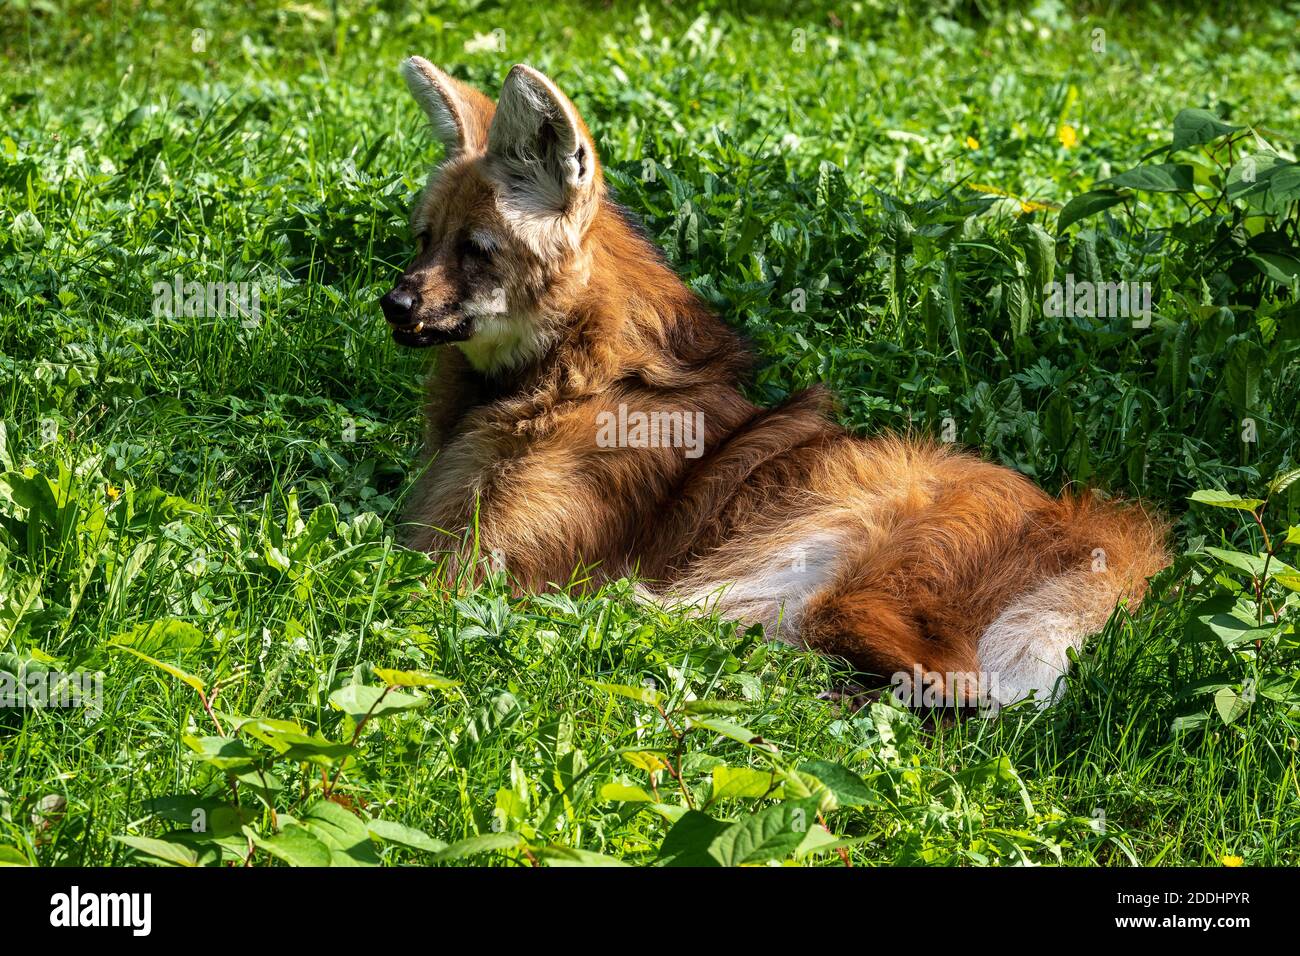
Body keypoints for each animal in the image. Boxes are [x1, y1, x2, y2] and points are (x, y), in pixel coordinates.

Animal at [380, 58, 1170, 708]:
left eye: (477, 250)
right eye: (423, 238)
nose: (394, 304)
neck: (577, 380)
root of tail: (1092, 527)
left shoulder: (477, 571)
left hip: (862, 551)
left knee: (954, 688)